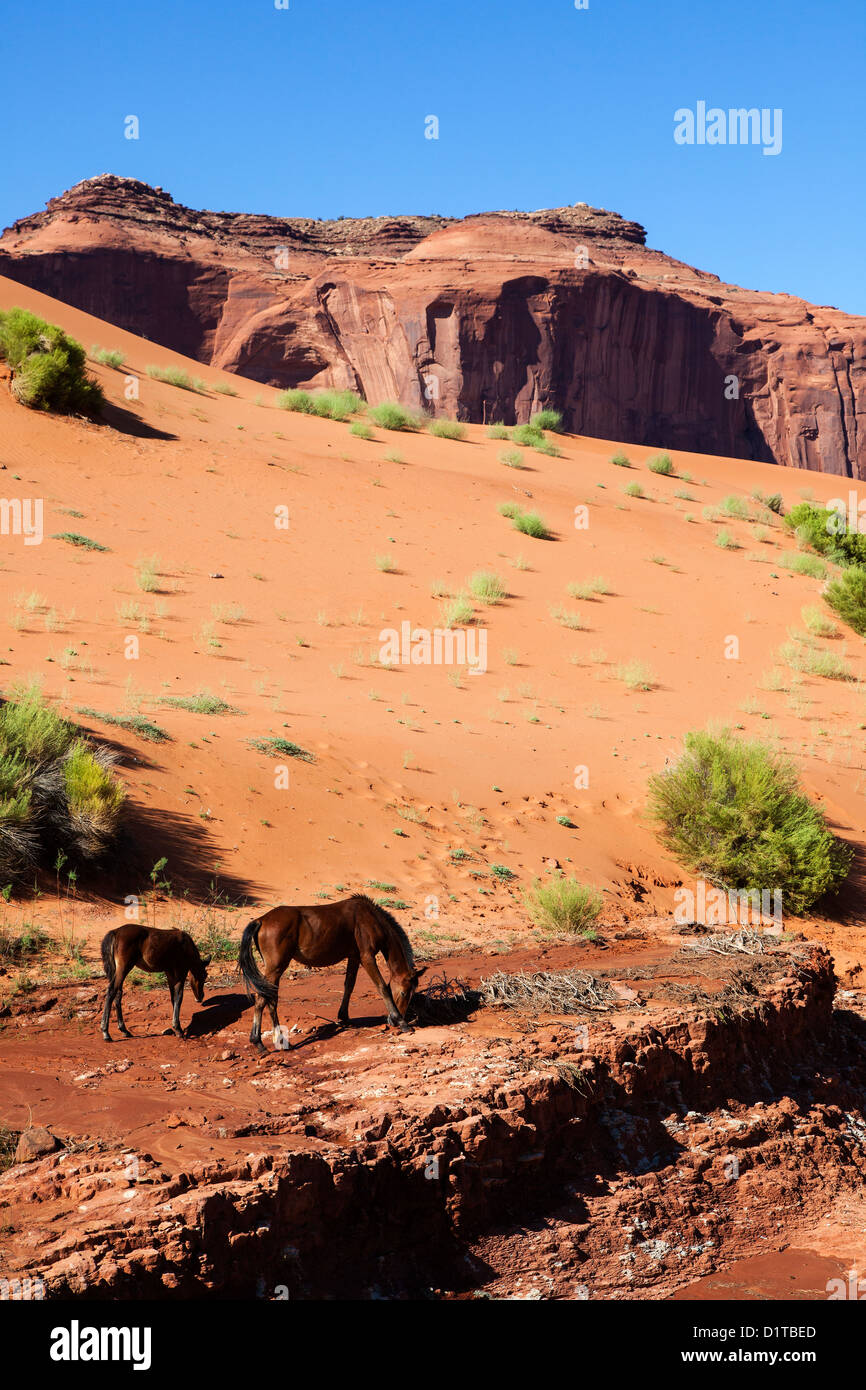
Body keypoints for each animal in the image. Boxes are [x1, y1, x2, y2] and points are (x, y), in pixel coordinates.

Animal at [238, 894, 425, 1054]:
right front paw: (403, 1023)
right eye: (404, 992)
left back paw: (278, 1040)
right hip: (276, 968)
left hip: (275, 970)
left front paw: (344, 1017)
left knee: (270, 999)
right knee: (262, 999)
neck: (371, 918)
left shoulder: (354, 957)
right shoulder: (367, 957)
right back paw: (259, 1042)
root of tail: (261, 920)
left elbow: (349, 985)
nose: (392, 1021)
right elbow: (382, 987)